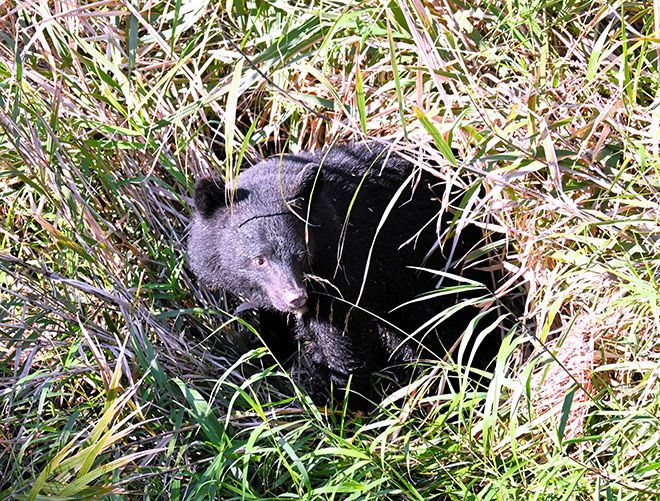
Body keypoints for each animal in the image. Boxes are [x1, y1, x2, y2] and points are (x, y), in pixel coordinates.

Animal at [188, 142, 499, 408]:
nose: (296, 298)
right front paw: (273, 356)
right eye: (259, 260)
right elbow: (272, 320)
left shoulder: (346, 264)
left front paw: (343, 399)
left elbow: (342, 332)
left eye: (301, 254)